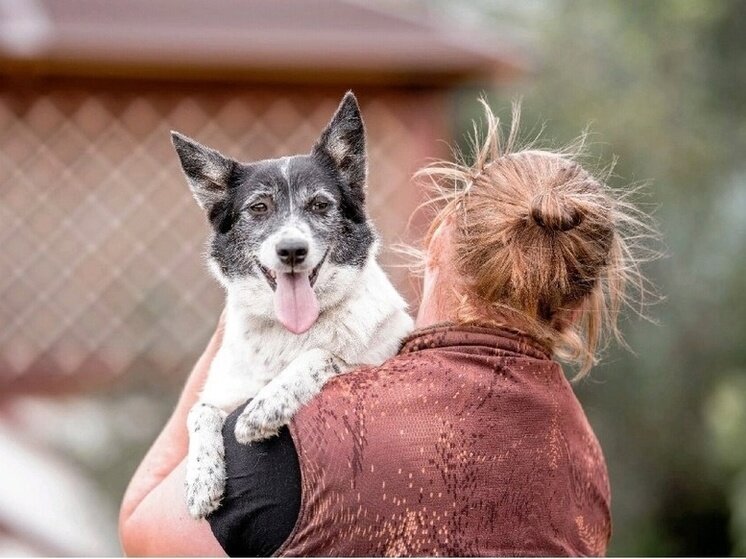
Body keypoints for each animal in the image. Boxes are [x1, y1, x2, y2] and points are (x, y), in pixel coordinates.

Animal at [171, 93, 412, 520]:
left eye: (319, 205)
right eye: (259, 208)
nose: (292, 250)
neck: (288, 331)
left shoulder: (369, 360)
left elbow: (321, 354)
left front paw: (265, 408)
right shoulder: (222, 389)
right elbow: (199, 412)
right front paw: (201, 480)